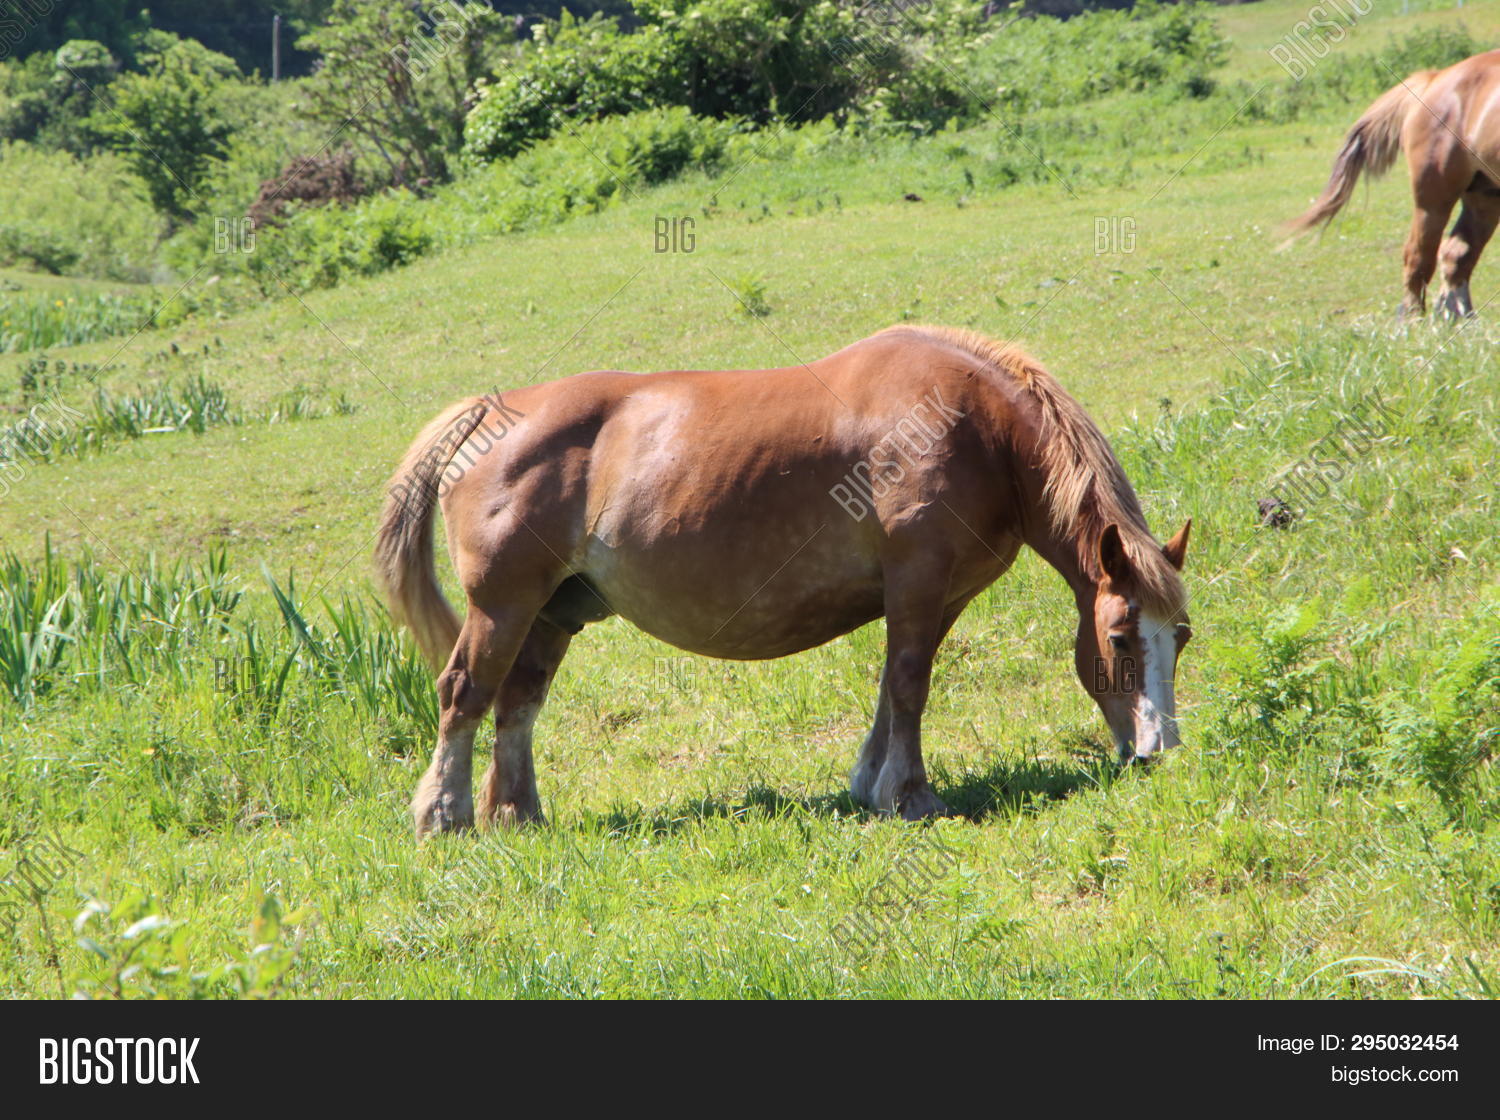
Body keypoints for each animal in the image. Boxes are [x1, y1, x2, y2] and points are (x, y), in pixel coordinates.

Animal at [375, 325, 1193, 837]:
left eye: (1180, 637)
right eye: (1121, 636)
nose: (1161, 751)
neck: (972, 428)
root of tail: (487, 414)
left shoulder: (936, 596)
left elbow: (892, 689)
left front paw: (872, 784)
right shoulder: (918, 582)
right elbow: (910, 687)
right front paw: (912, 796)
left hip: (552, 613)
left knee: (517, 706)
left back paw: (519, 814)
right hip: (503, 606)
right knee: (463, 695)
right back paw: (443, 816)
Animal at [1285, 50, 1500, 319]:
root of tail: (1434, 79)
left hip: (1484, 196)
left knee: (1456, 255)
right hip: (1433, 199)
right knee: (1419, 257)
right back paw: (1413, 320)